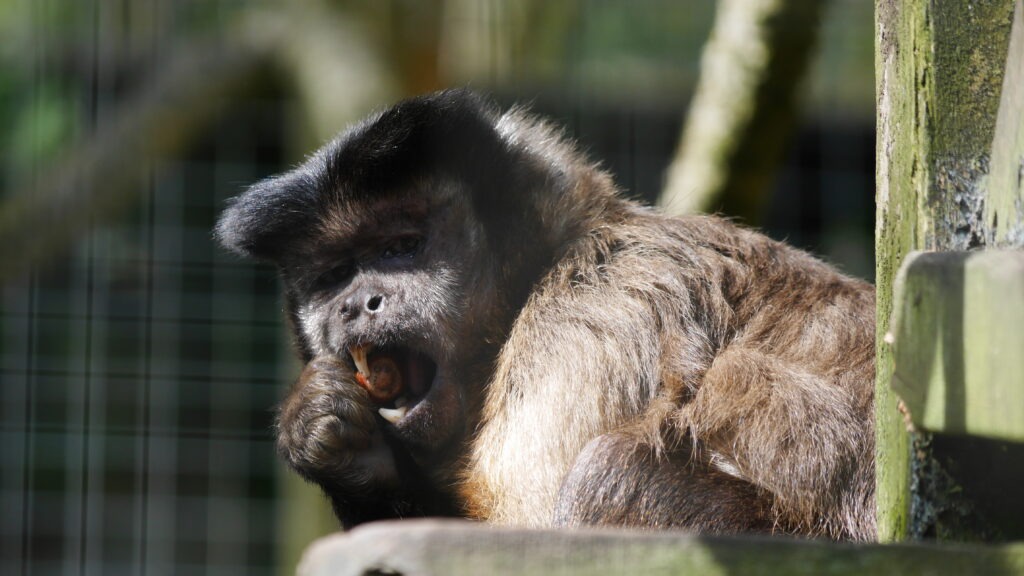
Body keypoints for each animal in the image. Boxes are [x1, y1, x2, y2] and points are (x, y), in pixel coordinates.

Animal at [215, 89, 876, 540]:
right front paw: (339, 448)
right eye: (333, 278)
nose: (355, 303)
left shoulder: (586, 319)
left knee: (608, 473)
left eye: (400, 248)